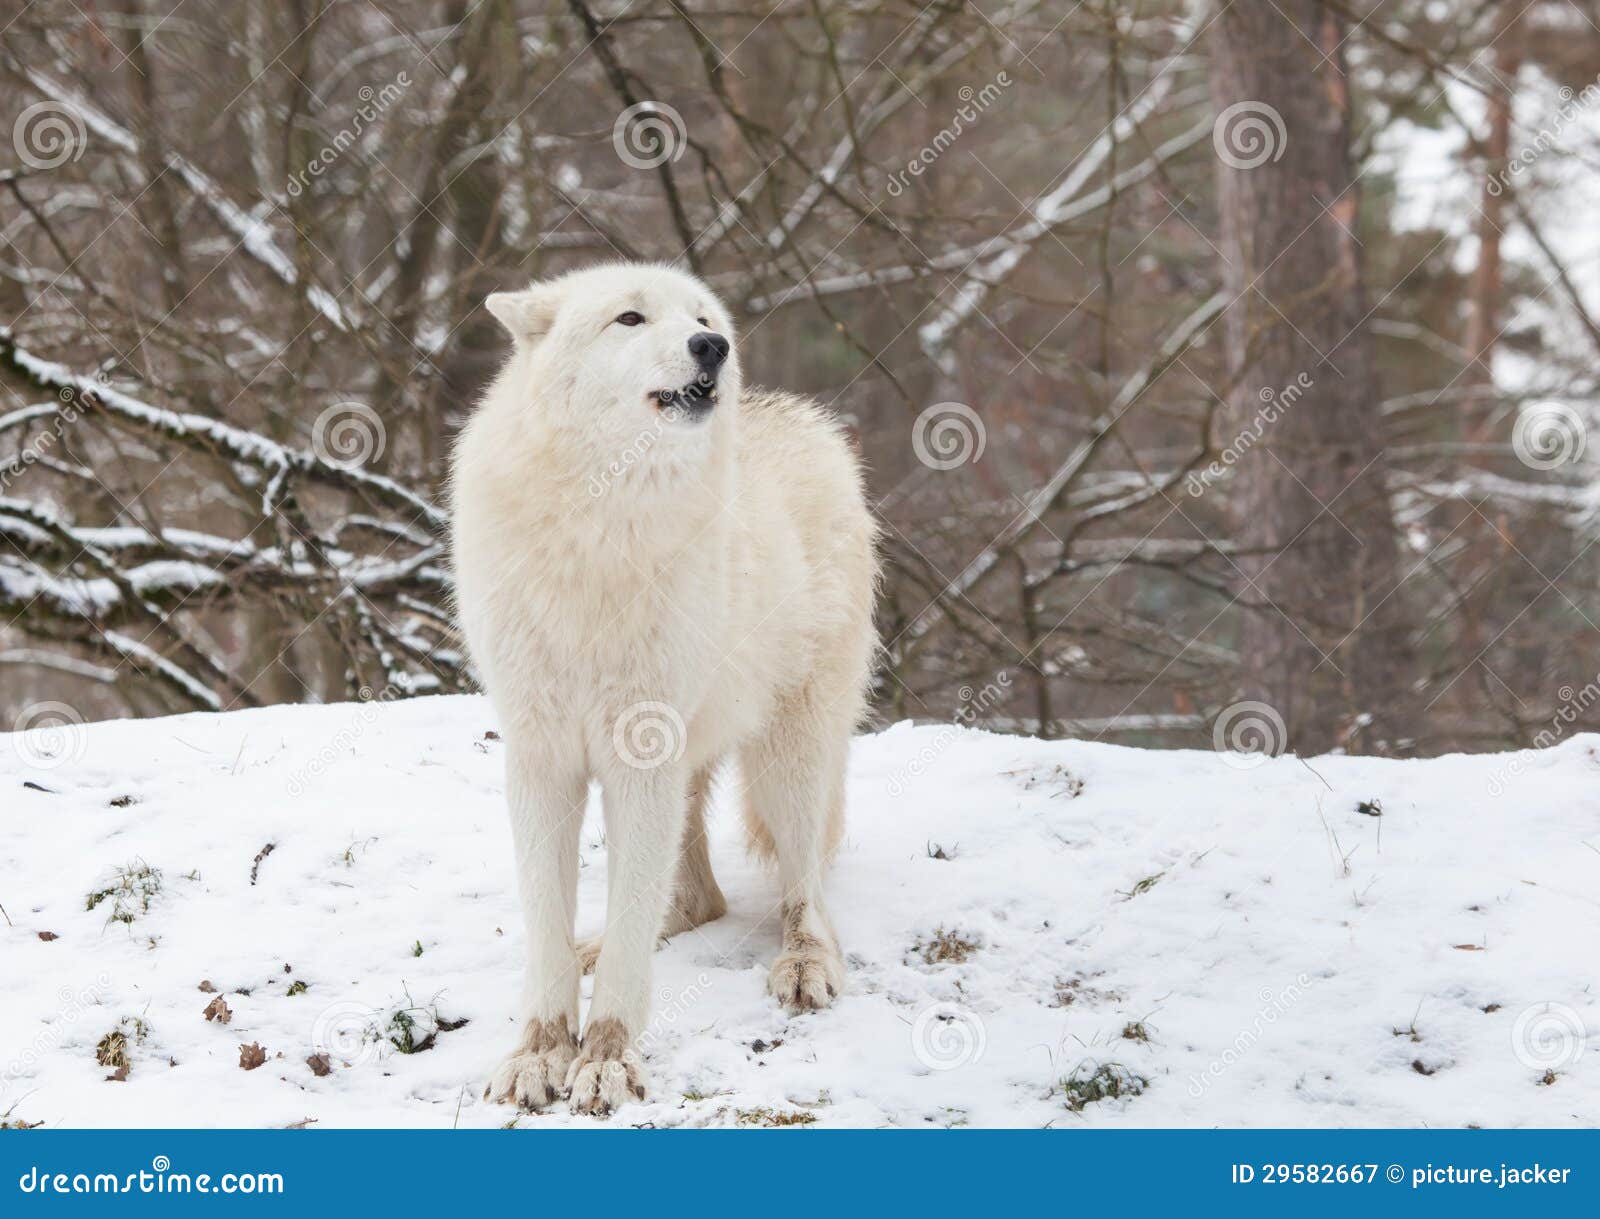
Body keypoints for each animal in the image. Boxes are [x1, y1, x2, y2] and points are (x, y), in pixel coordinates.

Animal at [450, 262, 877, 1115]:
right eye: (630, 318)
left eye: (704, 319)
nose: (712, 347)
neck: (602, 524)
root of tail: (812, 426)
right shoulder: (540, 756)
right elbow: (547, 926)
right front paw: (539, 1053)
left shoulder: (639, 755)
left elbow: (628, 946)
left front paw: (607, 1059)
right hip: (691, 762)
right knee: (694, 901)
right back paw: (602, 942)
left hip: (786, 760)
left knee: (802, 884)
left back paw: (806, 962)